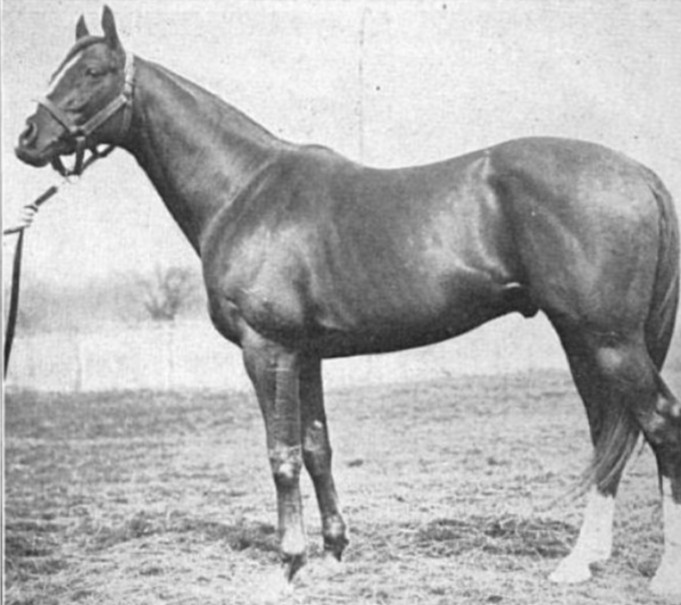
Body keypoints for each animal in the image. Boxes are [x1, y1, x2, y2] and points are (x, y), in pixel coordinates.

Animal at [14, 7, 681, 596]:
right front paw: (334, 553)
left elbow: (281, 454)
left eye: (93, 71)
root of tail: (641, 175)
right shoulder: (304, 354)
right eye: (59, 69)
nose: (28, 139)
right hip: (582, 341)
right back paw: (580, 562)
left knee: (660, 424)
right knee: (608, 431)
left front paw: (288, 565)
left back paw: (662, 574)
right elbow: (317, 448)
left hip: (608, 341)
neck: (244, 190)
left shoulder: (267, 350)